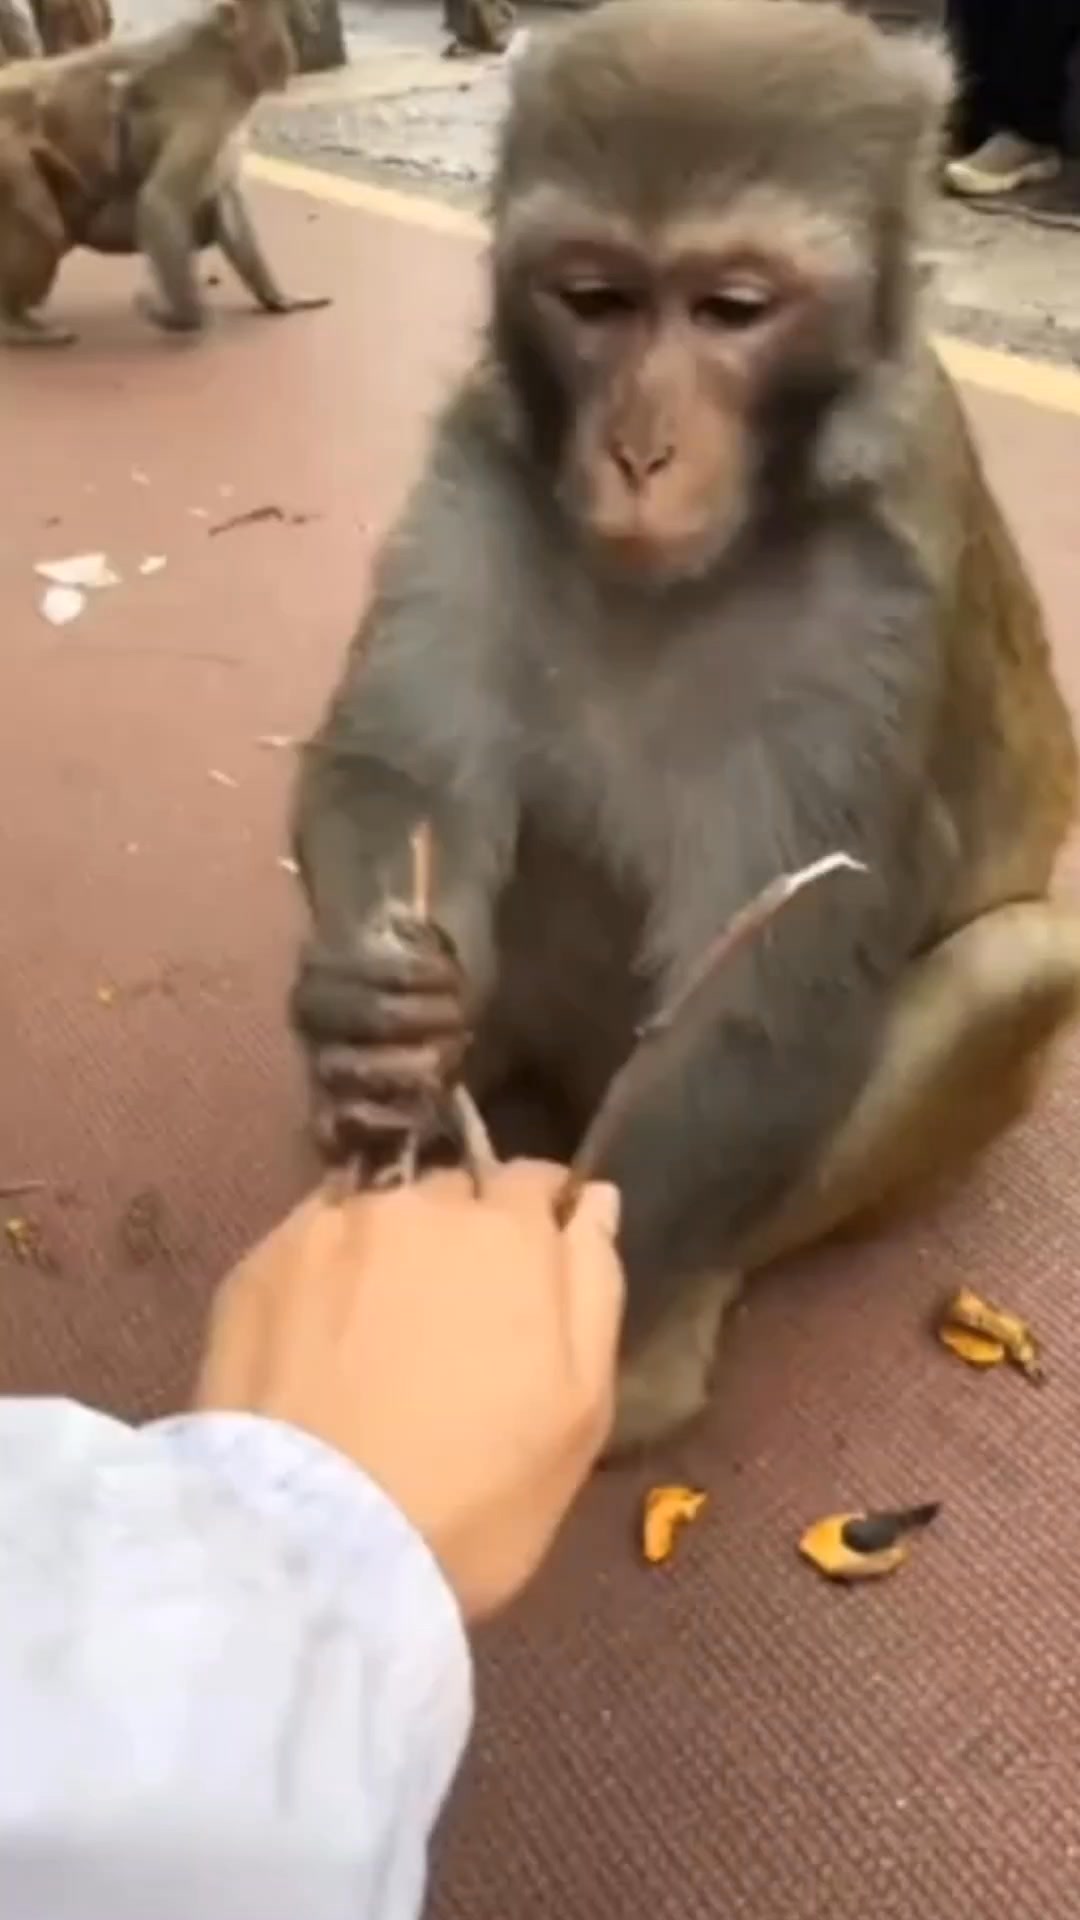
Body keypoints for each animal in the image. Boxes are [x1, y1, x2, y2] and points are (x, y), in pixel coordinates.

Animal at [0, 0, 330, 346]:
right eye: (293, 22)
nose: (297, 50)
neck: (226, 54)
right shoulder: (208, 107)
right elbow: (162, 200)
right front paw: (181, 317)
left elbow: (225, 199)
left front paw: (277, 297)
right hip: (8, 152)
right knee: (45, 225)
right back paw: (15, 322)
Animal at [288, 0, 1080, 1458]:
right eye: (593, 298)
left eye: (733, 311)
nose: (640, 451)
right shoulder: (486, 458)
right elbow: (405, 762)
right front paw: (363, 1008)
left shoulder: (881, 591)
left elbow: (765, 997)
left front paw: (536, 1347)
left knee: (1020, 965)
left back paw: (658, 1340)